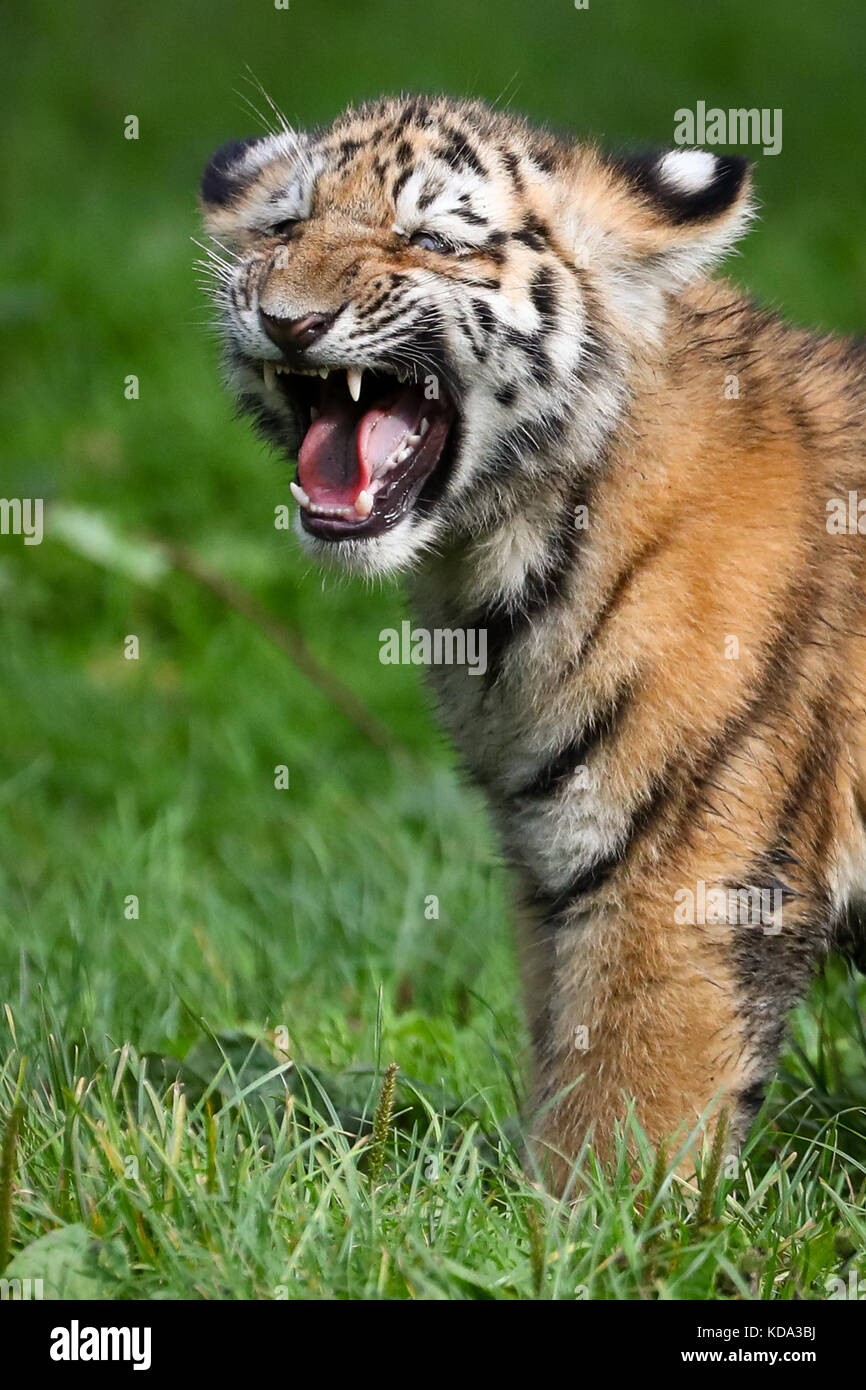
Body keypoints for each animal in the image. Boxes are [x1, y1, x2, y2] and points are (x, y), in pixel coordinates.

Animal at [199, 93, 866, 1193]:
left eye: (431, 239)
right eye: (283, 226)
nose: (289, 319)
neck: (496, 563)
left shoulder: (677, 866)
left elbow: (623, 1109)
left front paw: (581, 1221)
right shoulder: (550, 860)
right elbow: (564, 1055)